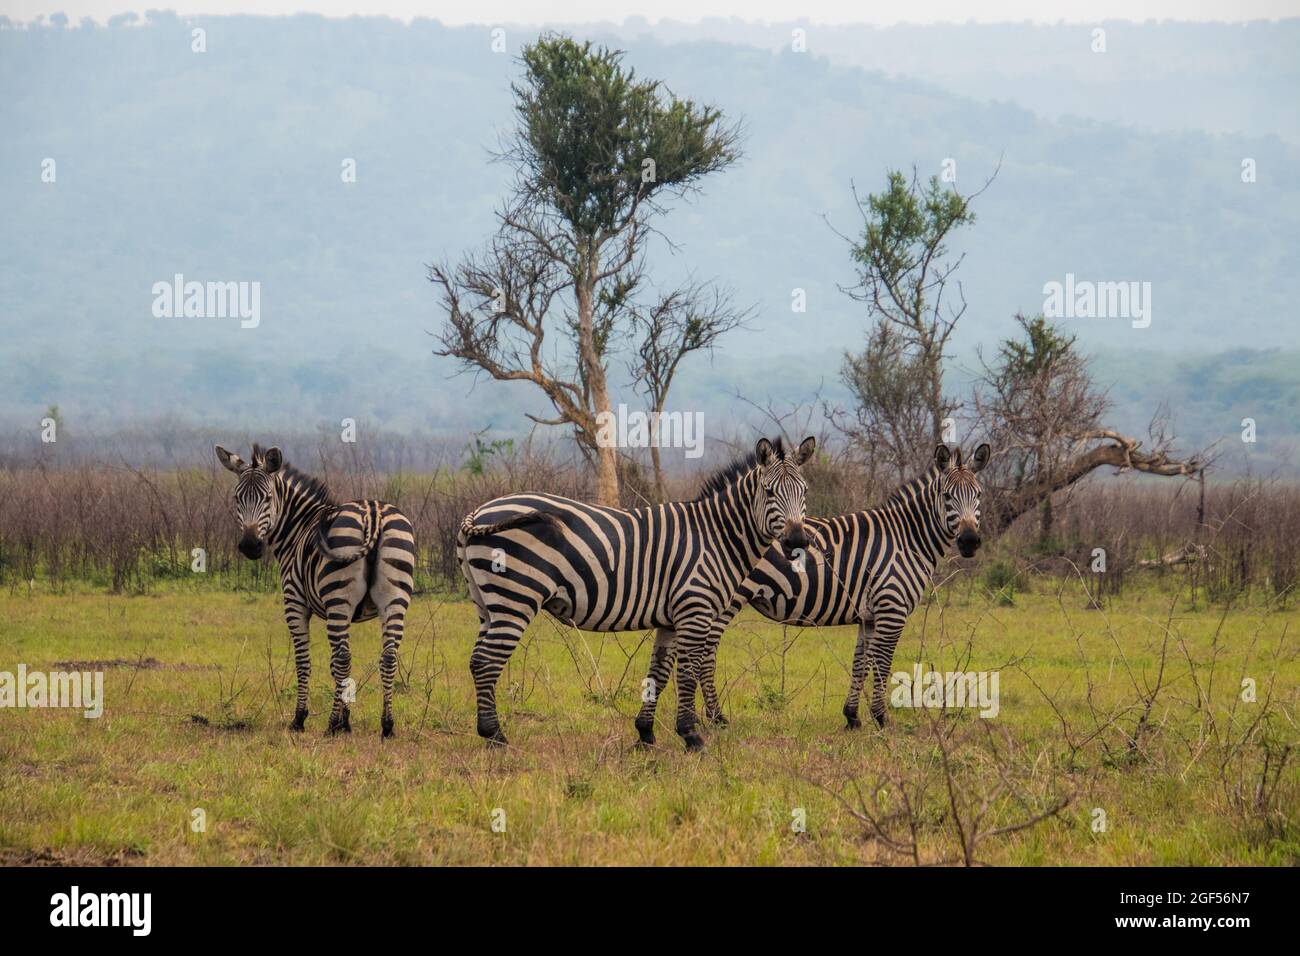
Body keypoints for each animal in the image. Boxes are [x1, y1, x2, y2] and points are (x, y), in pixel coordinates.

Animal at [215, 443, 417, 737]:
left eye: (267, 498)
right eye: (238, 498)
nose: (250, 546)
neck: (296, 529)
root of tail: (373, 512)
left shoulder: (295, 603)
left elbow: (305, 661)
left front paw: (302, 719)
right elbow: (337, 666)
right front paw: (346, 720)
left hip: (338, 597)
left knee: (342, 659)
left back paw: (330, 725)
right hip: (394, 599)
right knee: (388, 657)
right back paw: (387, 725)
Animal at [457, 436, 816, 751]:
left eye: (804, 491)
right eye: (769, 492)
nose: (798, 542)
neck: (717, 537)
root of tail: (478, 512)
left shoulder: (672, 618)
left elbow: (659, 673)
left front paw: (645, 734)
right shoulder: (695, 611)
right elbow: (687, 674)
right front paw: (692, 737)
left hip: (486, 604)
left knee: (476, 660)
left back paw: (488, 733)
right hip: (515, 599)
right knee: (487, 661)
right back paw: (496, 737)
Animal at [692, 443, 990, 730]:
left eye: (978, 495)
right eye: (947, 496)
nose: (969, 541)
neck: (908, 539)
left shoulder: (869, 616)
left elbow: (861, 662)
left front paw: (852, 717)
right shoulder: (892, 608)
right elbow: (882, 662)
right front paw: (882, 718)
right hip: (724, 600)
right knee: (705, 653)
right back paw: (716, 718)